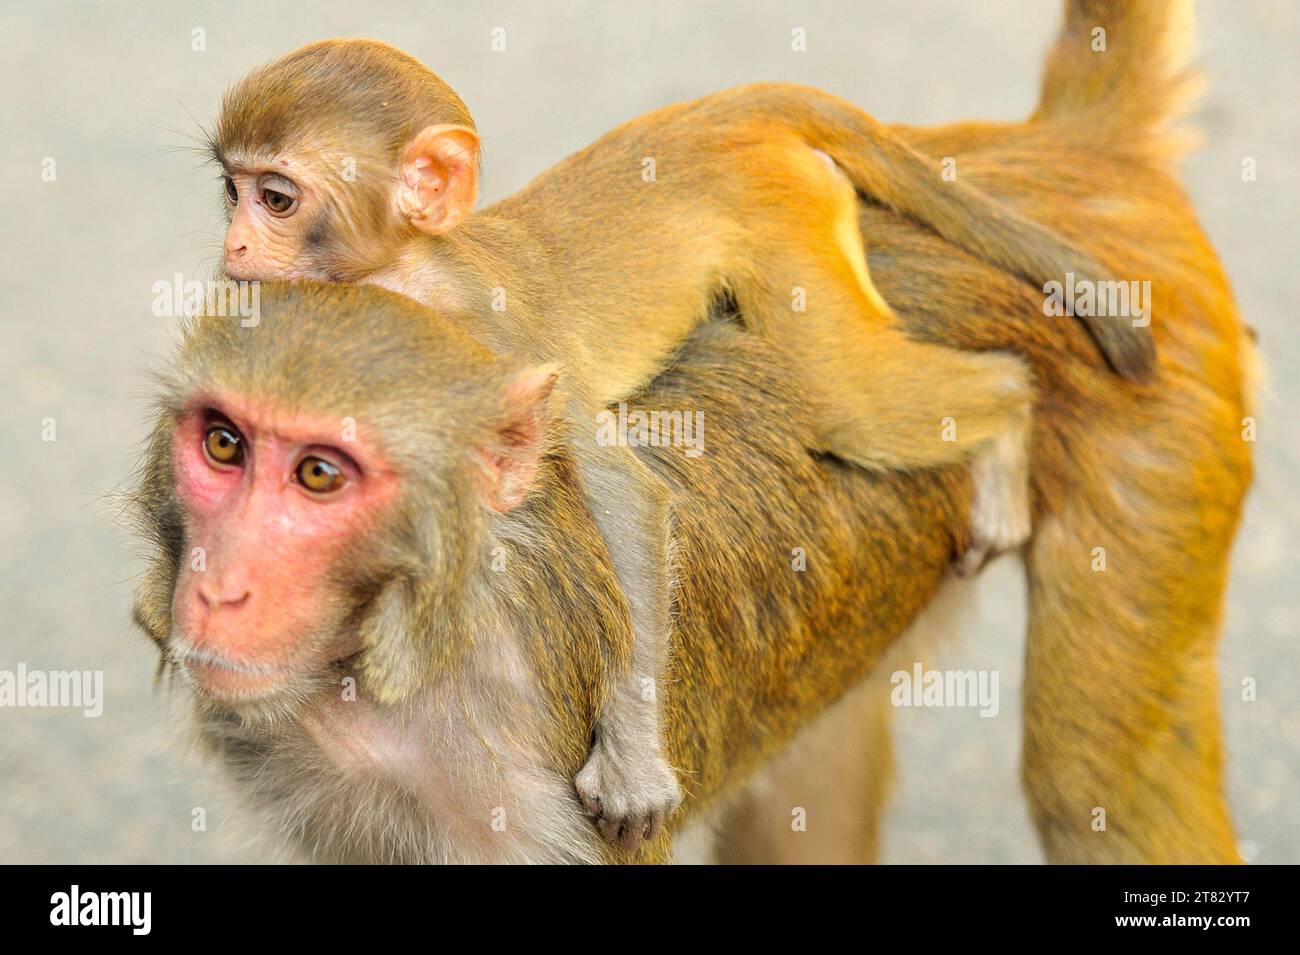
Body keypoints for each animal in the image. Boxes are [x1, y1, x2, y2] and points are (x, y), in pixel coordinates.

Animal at [204, 38, 1154, 846]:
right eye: (232, 190)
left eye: (277, 196)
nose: (234, 245)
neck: (410, 272)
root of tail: (715, 114)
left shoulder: (501, 343)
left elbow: (627, 494)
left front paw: (630, 759)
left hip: (785, 219)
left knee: (848, 396)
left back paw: (1009, 410)